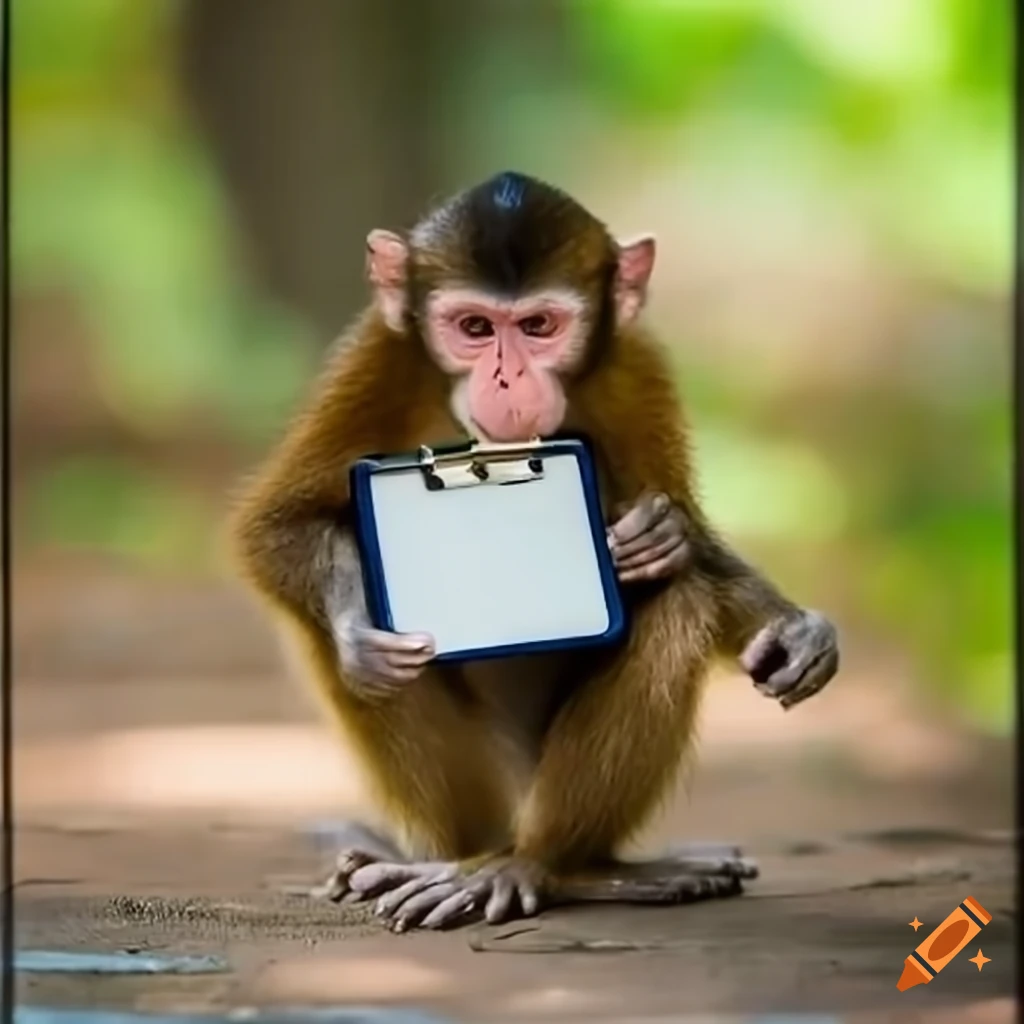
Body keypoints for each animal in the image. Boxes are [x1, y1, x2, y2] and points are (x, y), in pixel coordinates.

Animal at [229, 171, 839, 934]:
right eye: (474, 328)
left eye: (539, 327)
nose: (508, 381)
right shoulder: (376, 357)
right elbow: (277, 529)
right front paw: (357, 628)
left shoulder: (635, 366)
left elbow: (689, 550)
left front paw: (707, 570)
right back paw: (446, 863)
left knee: (677, 603)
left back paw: (560, 867)